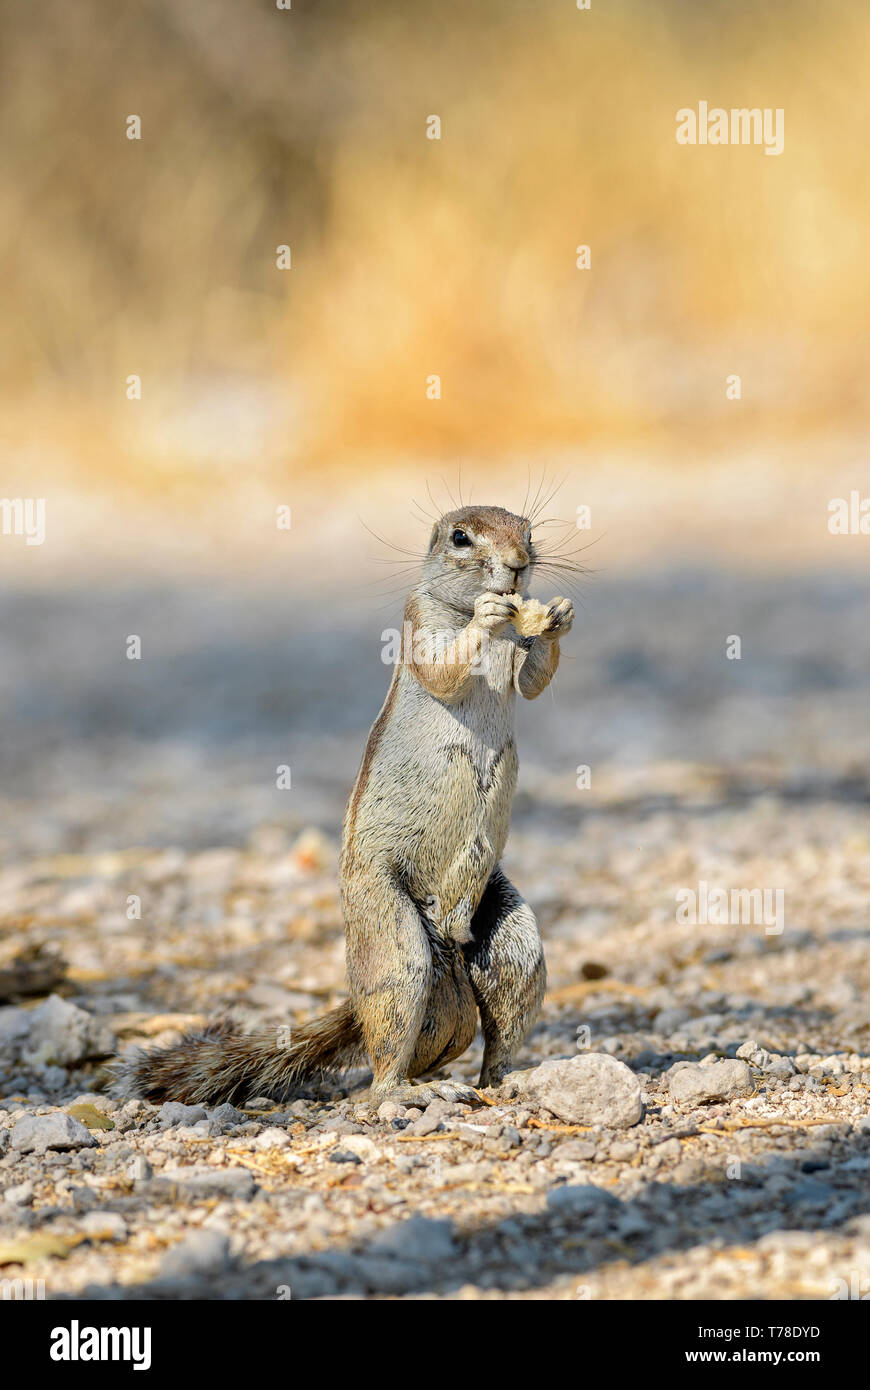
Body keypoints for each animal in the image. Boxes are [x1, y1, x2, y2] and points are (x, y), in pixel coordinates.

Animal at [114, 505, 573, 1107]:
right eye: (459, 537)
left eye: (528, 530)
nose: (519, 565)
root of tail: (448, 941)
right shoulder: (418, 624)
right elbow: (443, 670)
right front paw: (490, 614)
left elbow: (533, 679)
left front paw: (559, 616)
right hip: (392, 936)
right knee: (387, 1049)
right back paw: (400, 1093)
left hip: (509, 939)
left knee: (496, 1015)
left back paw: (500, 1082)